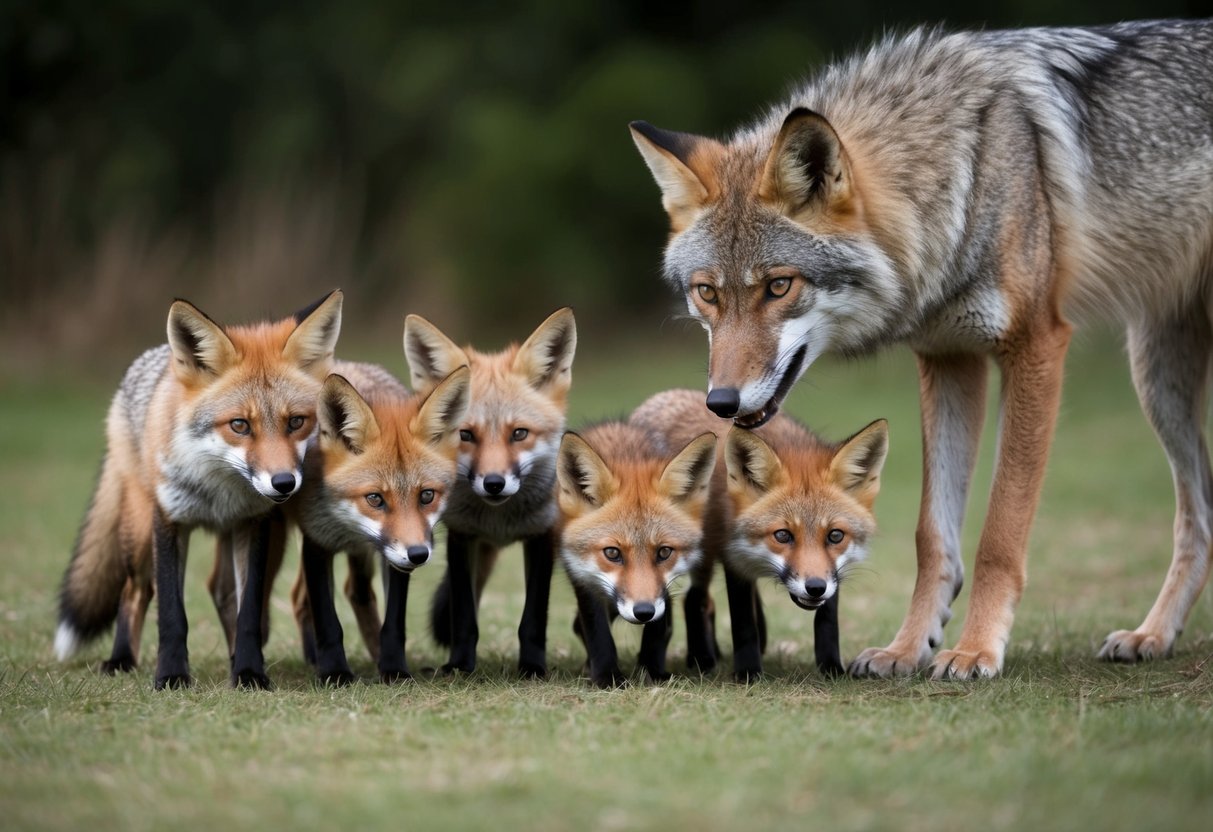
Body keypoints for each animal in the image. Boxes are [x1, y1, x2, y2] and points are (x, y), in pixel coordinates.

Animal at [54, 291, 343, 689]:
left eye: (296, 422)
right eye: (239, 425)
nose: (284, 482)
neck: (218, 490)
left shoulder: (254, 523)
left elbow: (248, 610)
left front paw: (249, 673)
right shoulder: (169, 520)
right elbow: (171, 613)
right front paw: (171, 675)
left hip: (272, 537)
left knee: (223, 592)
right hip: (140, 530)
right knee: (133, 592)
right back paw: (121, 659)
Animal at [286, 362, 471, 684]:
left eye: (426, 495)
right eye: (375, 498)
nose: (419, 555)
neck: (350, 528)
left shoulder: (395, 556)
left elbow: (394, 622)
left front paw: (394, 669)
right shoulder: (317, 542)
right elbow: (328, 621)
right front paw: (334, 672)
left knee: (354, 592)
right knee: (301, 597)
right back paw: (314, 659)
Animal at [403, 308, 576, 677]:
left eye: (519, 433)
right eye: (465, 435)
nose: (494, 483)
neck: (499, 522)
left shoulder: (541, 537)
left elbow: (533, 619)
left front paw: (532, 667)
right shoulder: (461, 537)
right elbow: (465, 617)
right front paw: (460, 665)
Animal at [556, 422, 716, 687]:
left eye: (664, 552)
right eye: (612, 553)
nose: (643, 612)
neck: (627, 454)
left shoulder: (663, 589)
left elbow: (661, 627)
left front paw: (652, 670)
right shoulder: (582, 576)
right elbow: (597, 630)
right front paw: (607, 676)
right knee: (580, 625)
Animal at [631, 389, 888, 680]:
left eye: (835, 536)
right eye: (783, 535)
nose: (814, 588)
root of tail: (666, 394)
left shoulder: (832, 574)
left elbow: (827, 621)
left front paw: (831, 669)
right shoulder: (733, 559)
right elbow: (744, 622)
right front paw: (748, 672)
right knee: (695, 599)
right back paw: (699, 660)